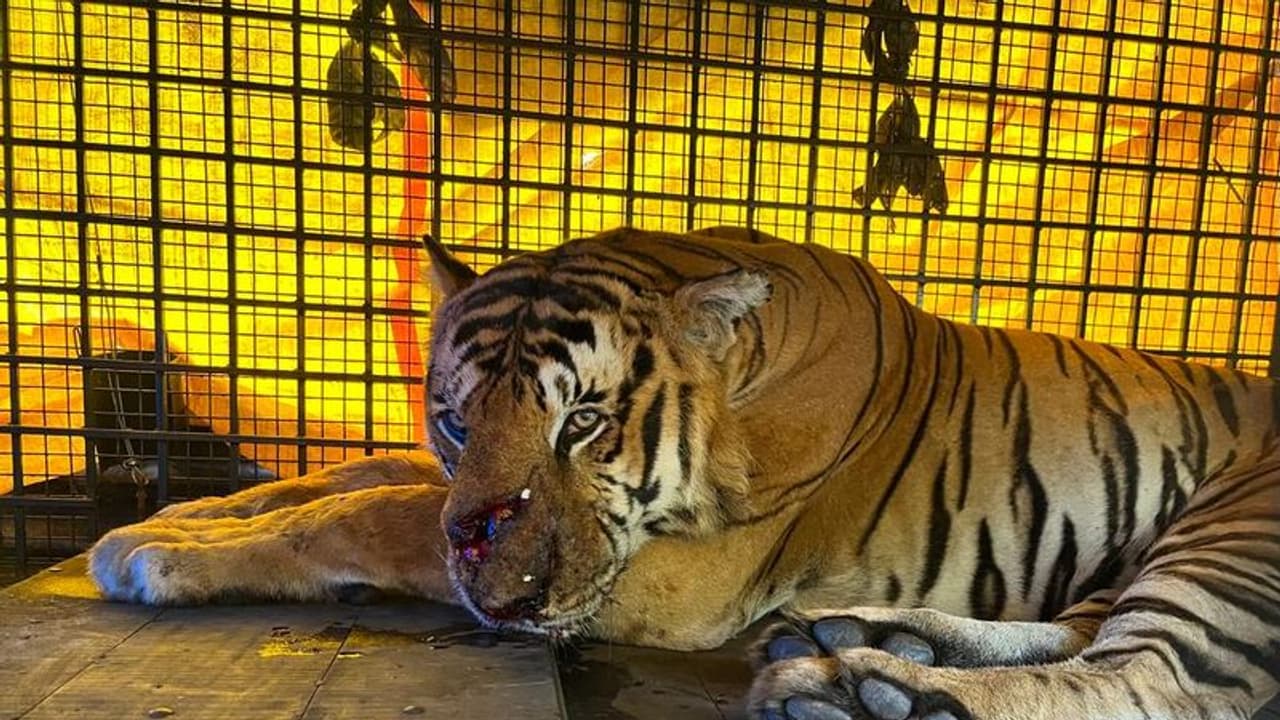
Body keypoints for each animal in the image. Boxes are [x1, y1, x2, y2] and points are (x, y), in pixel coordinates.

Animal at [87, 226, 1280, 720]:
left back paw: (872, 692)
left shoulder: (666, 578)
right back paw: (869, 640)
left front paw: (151, 553)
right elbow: (361, 477)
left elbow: (377, 513)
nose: (497, 593)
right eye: (458, 419)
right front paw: (195, 511)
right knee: (1086, 634)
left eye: (583, 423)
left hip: (1230, 533)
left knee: (1158, 681)